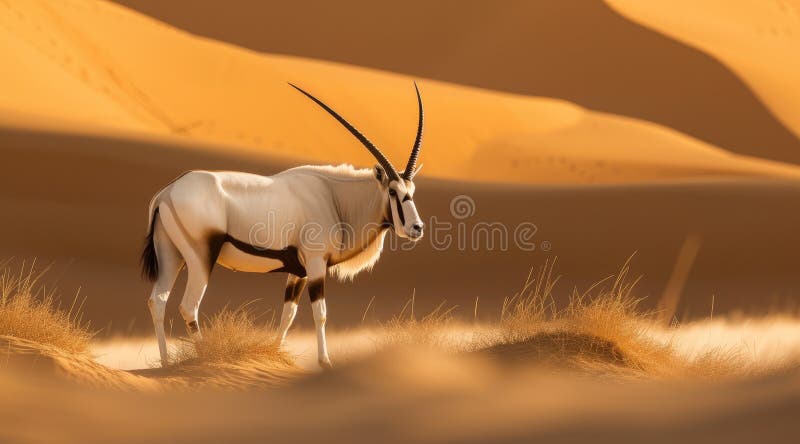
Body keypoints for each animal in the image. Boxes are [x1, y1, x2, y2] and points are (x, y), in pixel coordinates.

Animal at [140, 83, 425, 368]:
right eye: (392, 191)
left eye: (411, 190)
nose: (417, 228)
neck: (333, 197)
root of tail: (165, 193)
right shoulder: (316, 264)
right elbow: (320, 313)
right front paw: (325, 362)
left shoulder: (299, 271)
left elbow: (288, 313)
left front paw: (275, 354)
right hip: (200, 257)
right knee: (189, 306)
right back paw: (205, 356)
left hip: (172, 255)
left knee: (158, 300)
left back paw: (165, 363)